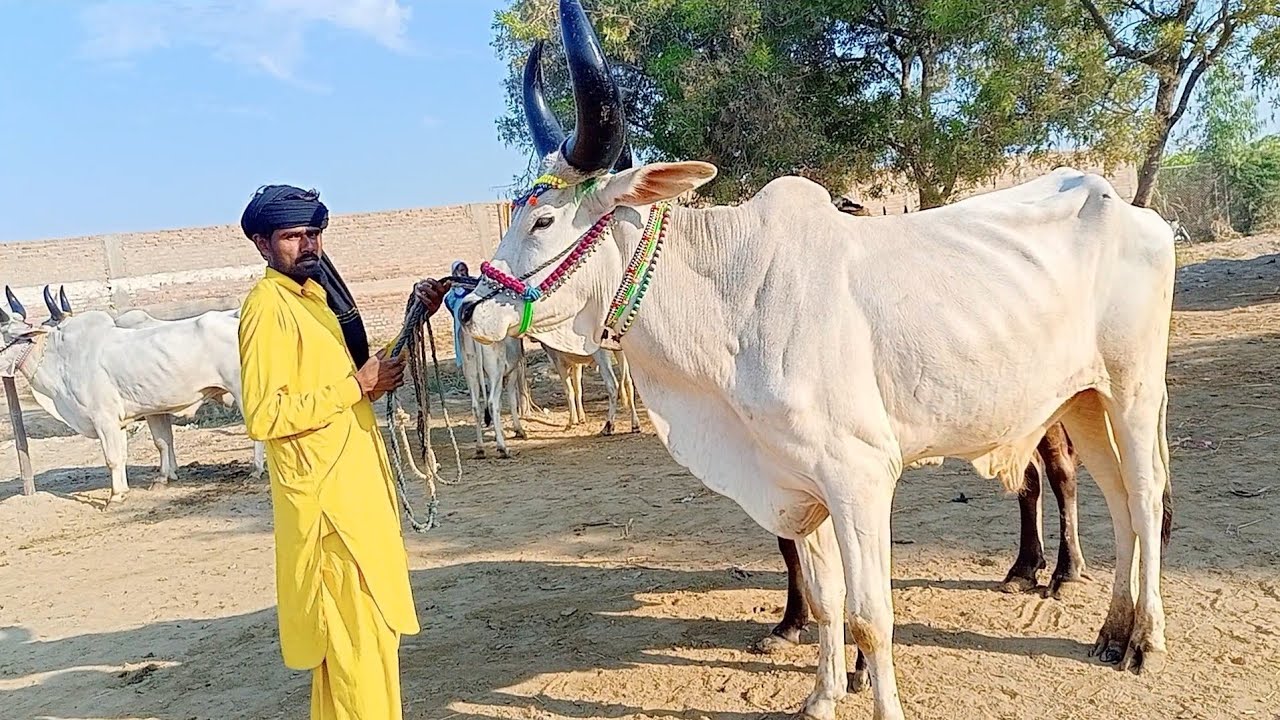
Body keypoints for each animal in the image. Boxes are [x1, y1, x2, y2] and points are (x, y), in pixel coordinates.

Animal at [1, 285, 265, 505]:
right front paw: (160, 479)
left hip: (242, 391)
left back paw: (256, 471)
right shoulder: (142, 414)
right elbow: (158, 443)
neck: (58, 357)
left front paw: (116, 495)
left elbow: (113, 458)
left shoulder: (105, 420)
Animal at [459, 4, 1177, 718]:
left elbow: (870, 617)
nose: (468, 309)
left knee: (1143, 496)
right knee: (1114, 495)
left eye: (544, 220)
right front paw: (822, 695)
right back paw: (1111, 629)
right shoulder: (799, 481)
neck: (734, 299)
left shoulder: (860, 476)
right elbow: (827, 602)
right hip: (1081, 399)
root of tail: (1133, 209)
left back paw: (1144, 638)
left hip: (1133, 390)